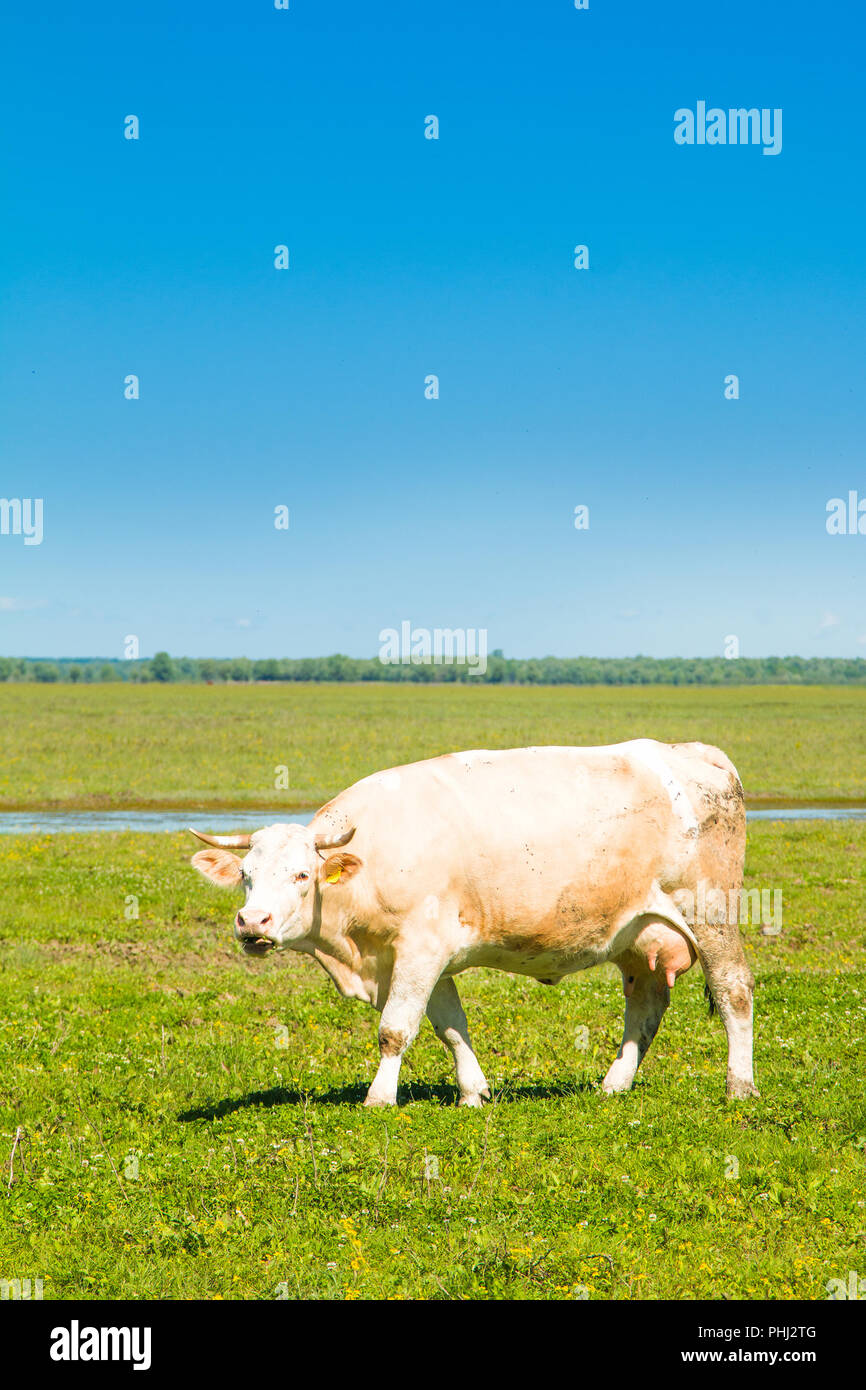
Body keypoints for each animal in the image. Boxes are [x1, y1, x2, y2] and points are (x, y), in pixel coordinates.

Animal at [189, 739, 758, 1106]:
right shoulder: (425, 958)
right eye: (245, 875)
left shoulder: (419, 947)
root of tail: (693, 752)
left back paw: (740, 1087)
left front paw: (379, 1098)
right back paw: (614, 1084)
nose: (252, 922)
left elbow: (395, 1029)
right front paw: (473, 1092)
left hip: (710, 913)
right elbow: (450, 1027)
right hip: (638, 938)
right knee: (645, 1009)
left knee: (734, 991)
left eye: (302, 874)